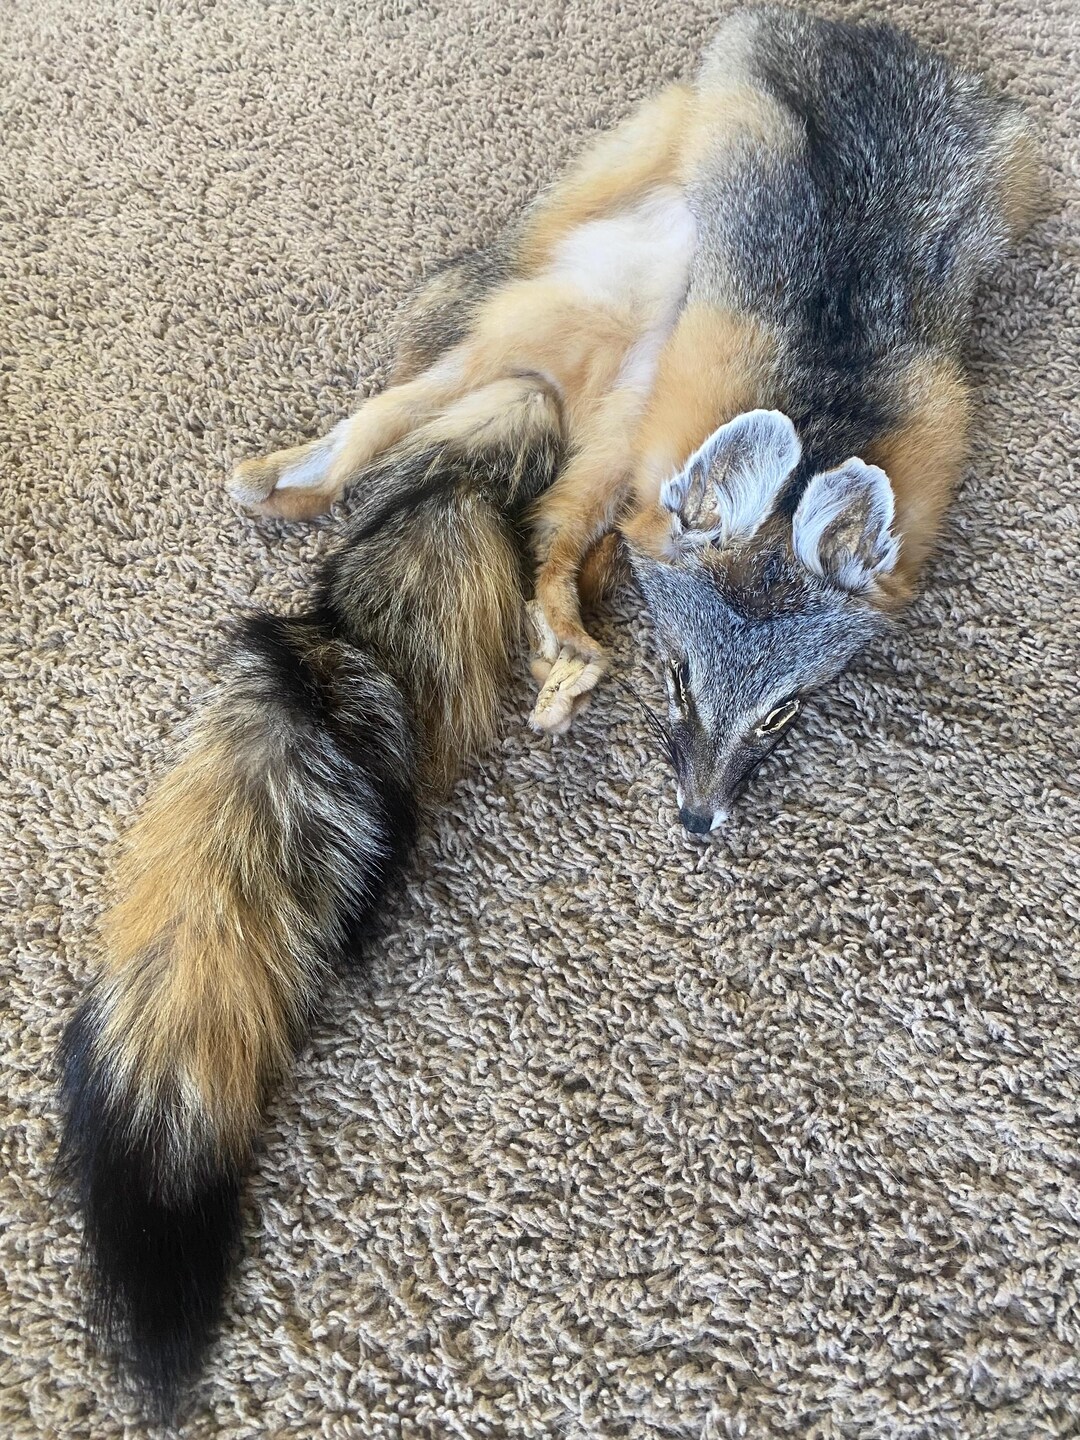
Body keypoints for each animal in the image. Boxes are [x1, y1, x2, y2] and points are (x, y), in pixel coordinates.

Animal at [58, 5, 1039, 1418]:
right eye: (680, 682)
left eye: (781, 721)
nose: (697, 824)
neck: (826, 386)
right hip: (577, 339)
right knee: (396, 414)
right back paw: (298, 475)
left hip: (598, 411)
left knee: (510, 507)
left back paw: (532, 615)